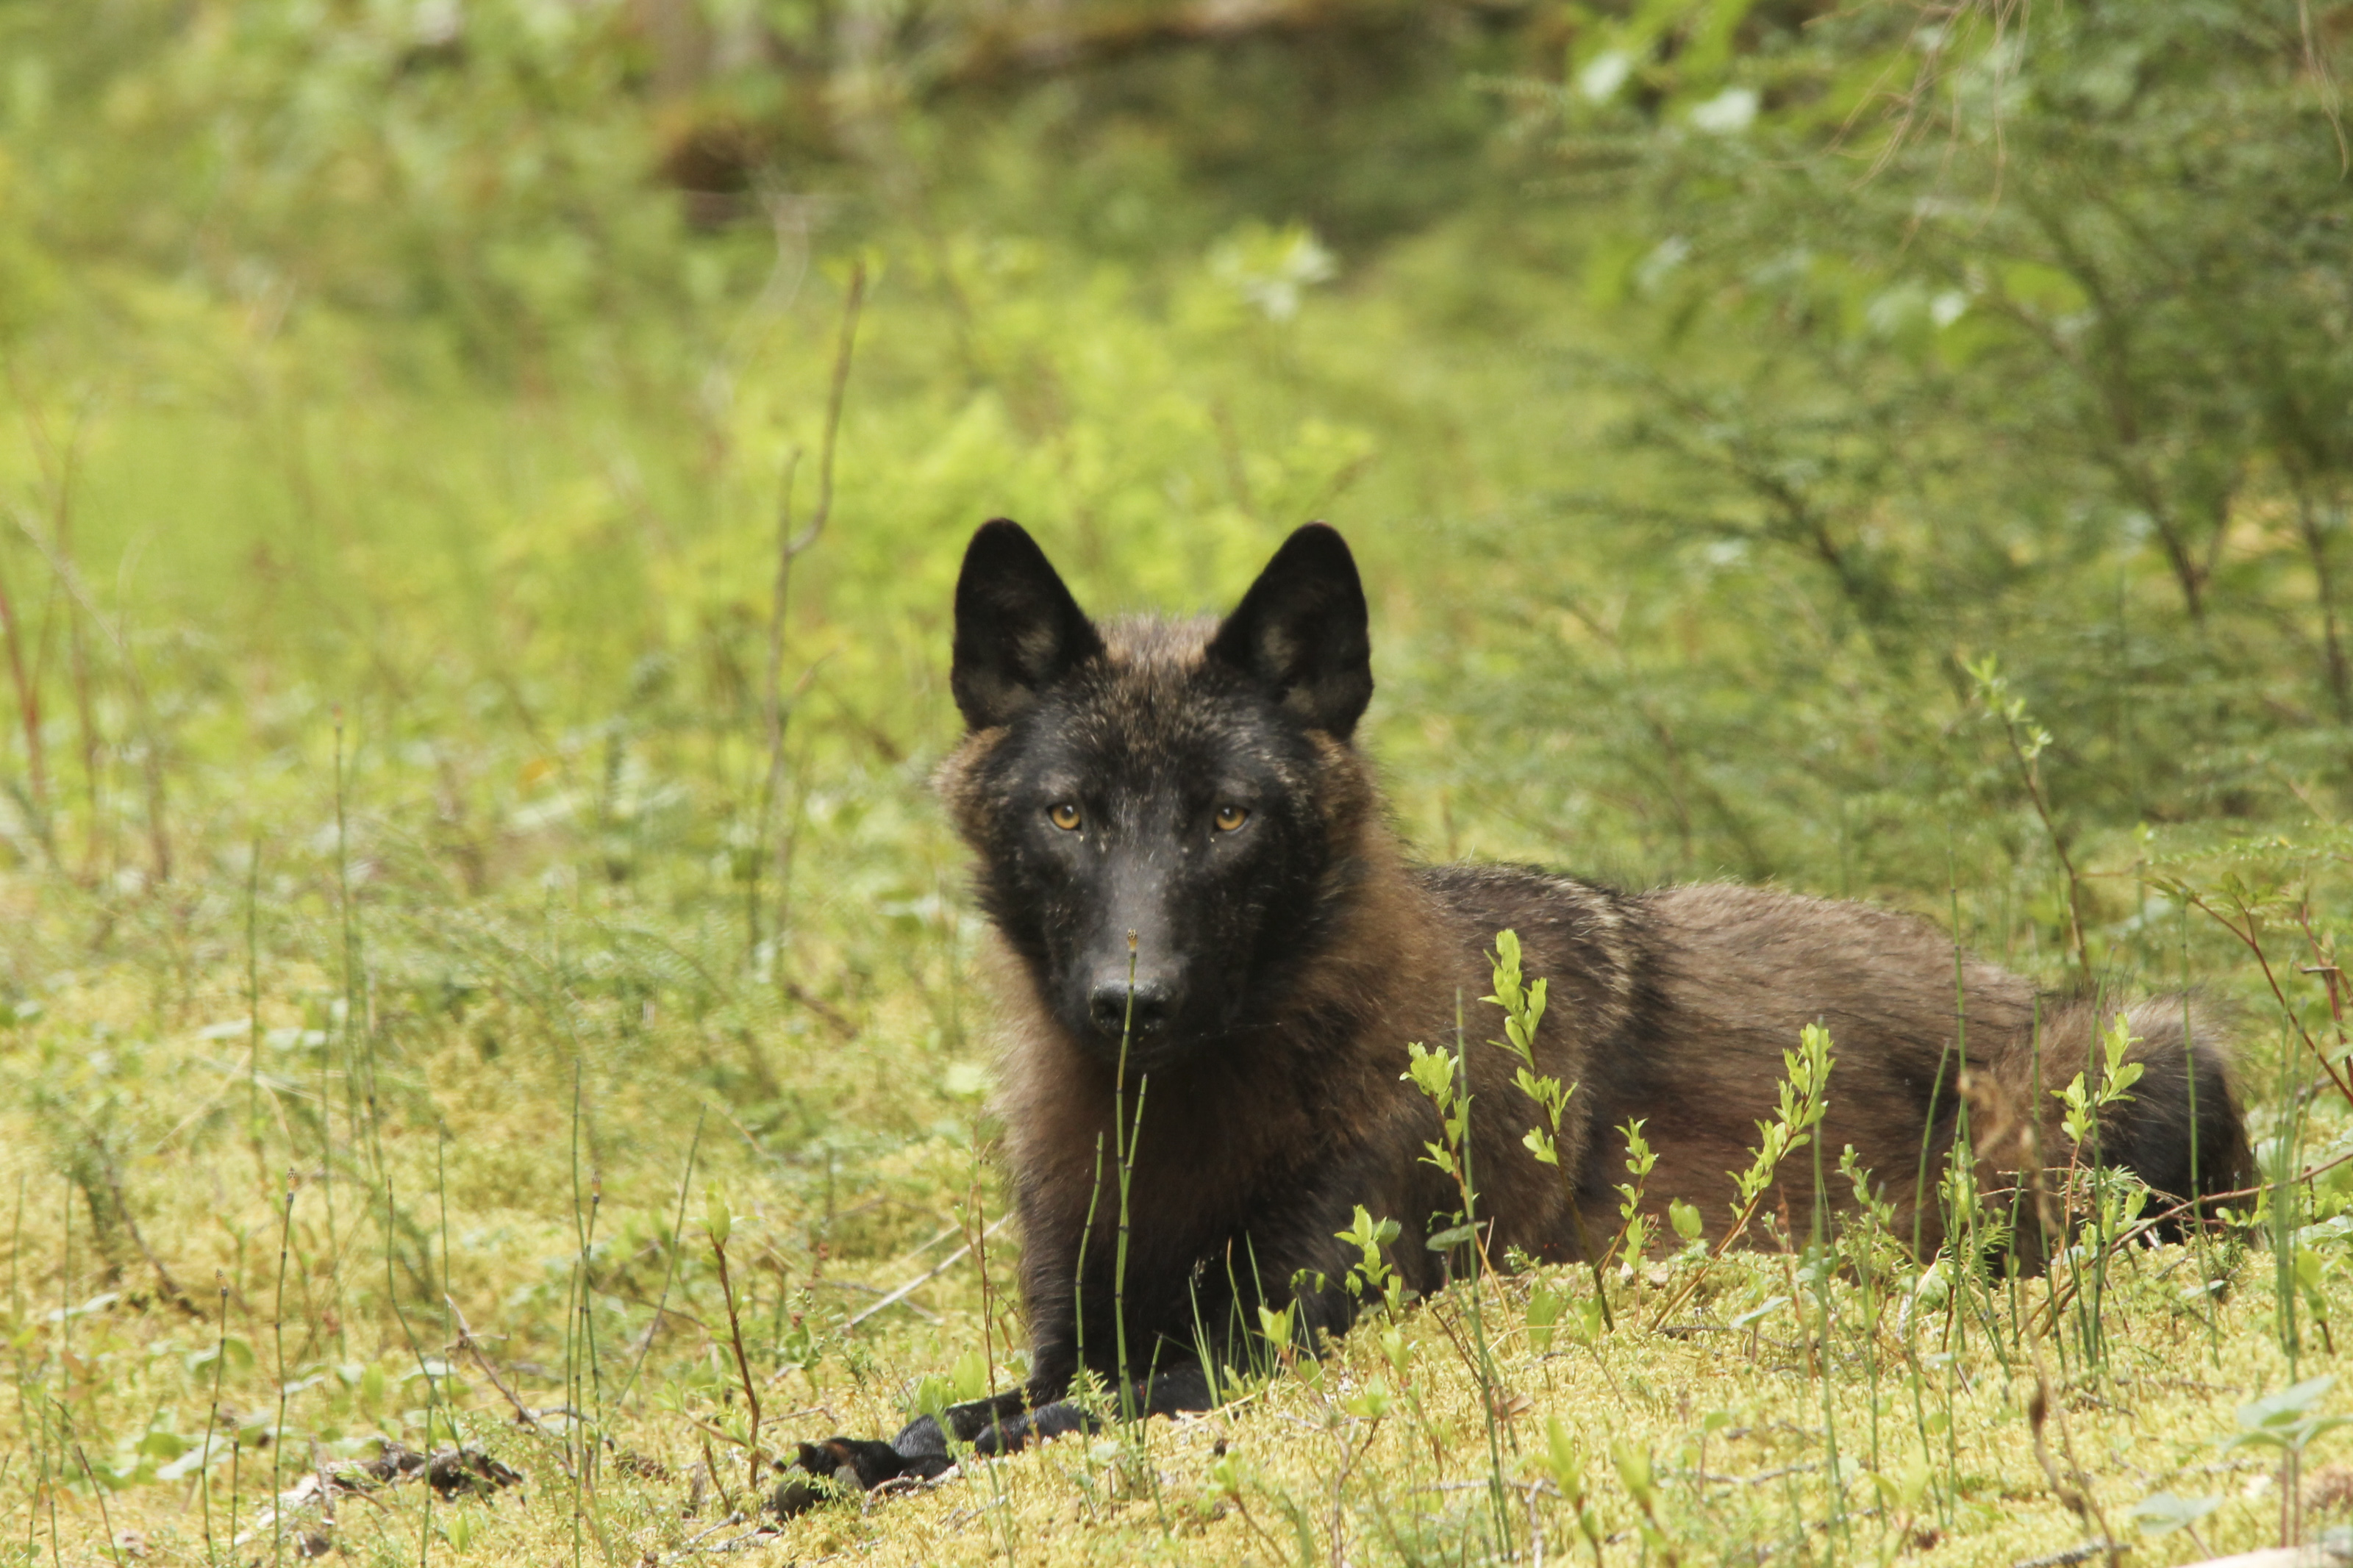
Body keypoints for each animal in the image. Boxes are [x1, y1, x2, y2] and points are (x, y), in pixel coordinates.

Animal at [774, 519, 2248, 1512]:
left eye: (1229, 814)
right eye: (1071, 812)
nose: (1131, 1002)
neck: (1181, 1124)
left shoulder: (1267, 1345)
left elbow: (1021, 1423)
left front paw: (889, 1456)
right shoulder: (1073, 1330)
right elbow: (987, 1400)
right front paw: (847, 1451)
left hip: (2132, 1071)